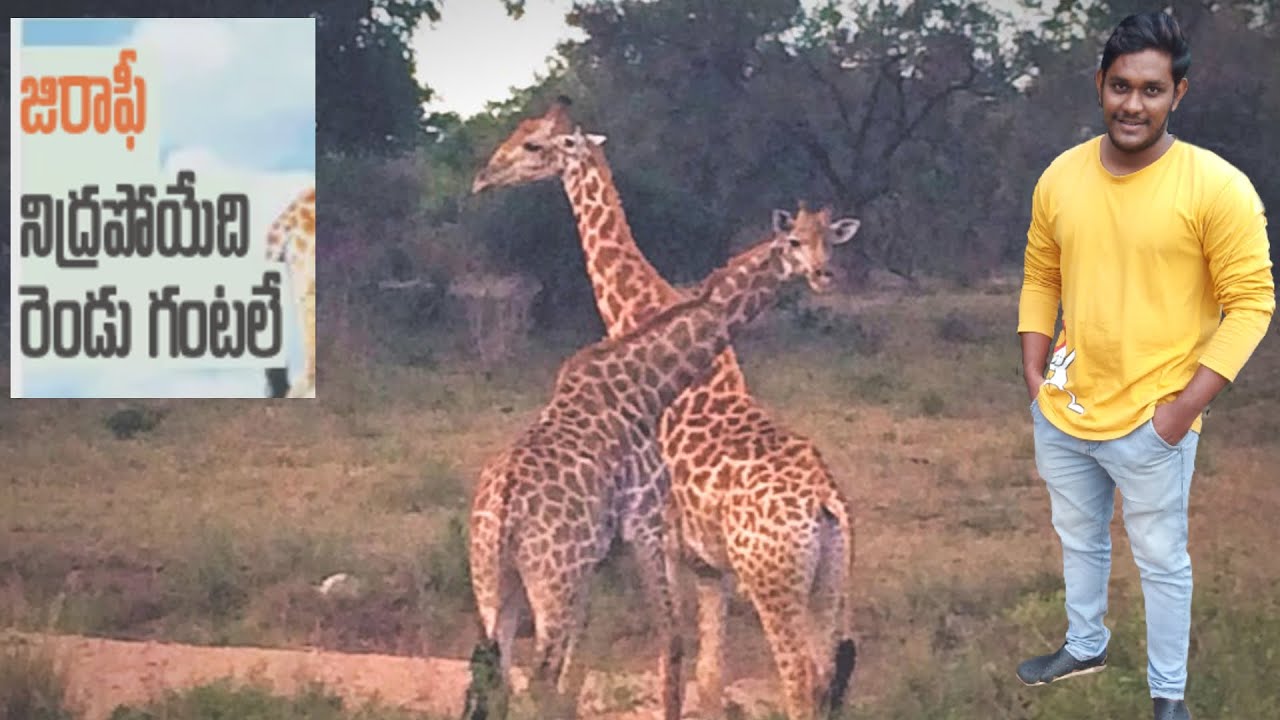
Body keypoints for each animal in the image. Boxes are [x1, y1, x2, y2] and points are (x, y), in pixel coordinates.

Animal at [473, 100, 862, 720]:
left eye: (533, 143)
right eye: (520, 132)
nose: (484, 175)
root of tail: (827, 505)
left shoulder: (664, 543)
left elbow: (669, 659)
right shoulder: (704, 565)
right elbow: (707, 676)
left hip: (772, 581)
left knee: (801, 680)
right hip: (828, 579)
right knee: (828, 675)